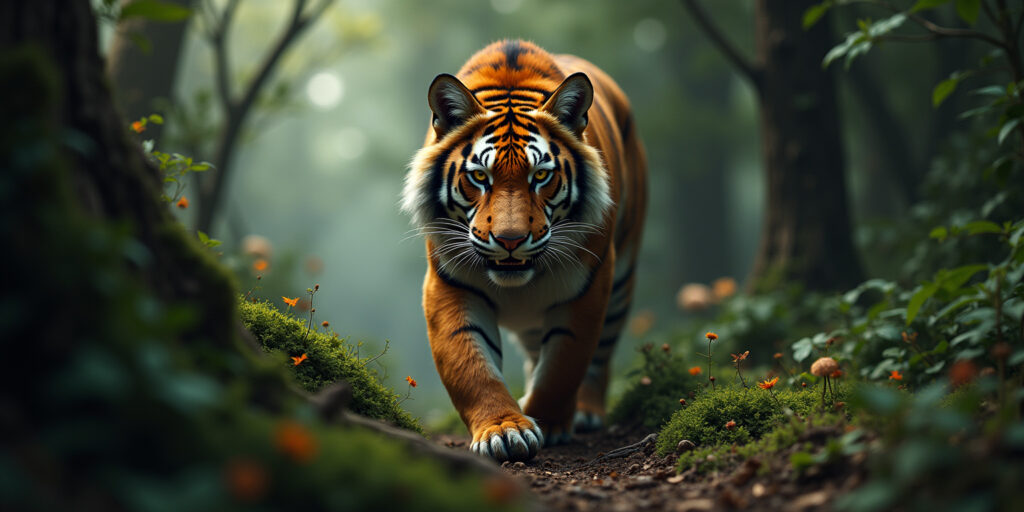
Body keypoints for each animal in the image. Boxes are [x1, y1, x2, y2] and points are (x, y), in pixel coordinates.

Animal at [402, 40, 647, 462]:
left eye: (541, 176)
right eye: (479, 177)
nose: (510, 239)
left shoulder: (588, 285)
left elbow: (564, 366)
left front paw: (547, 423)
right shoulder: (448, 284)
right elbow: (472, 366)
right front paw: (505, 429)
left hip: (621, 279)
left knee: (600, 356)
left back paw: (585, 412)